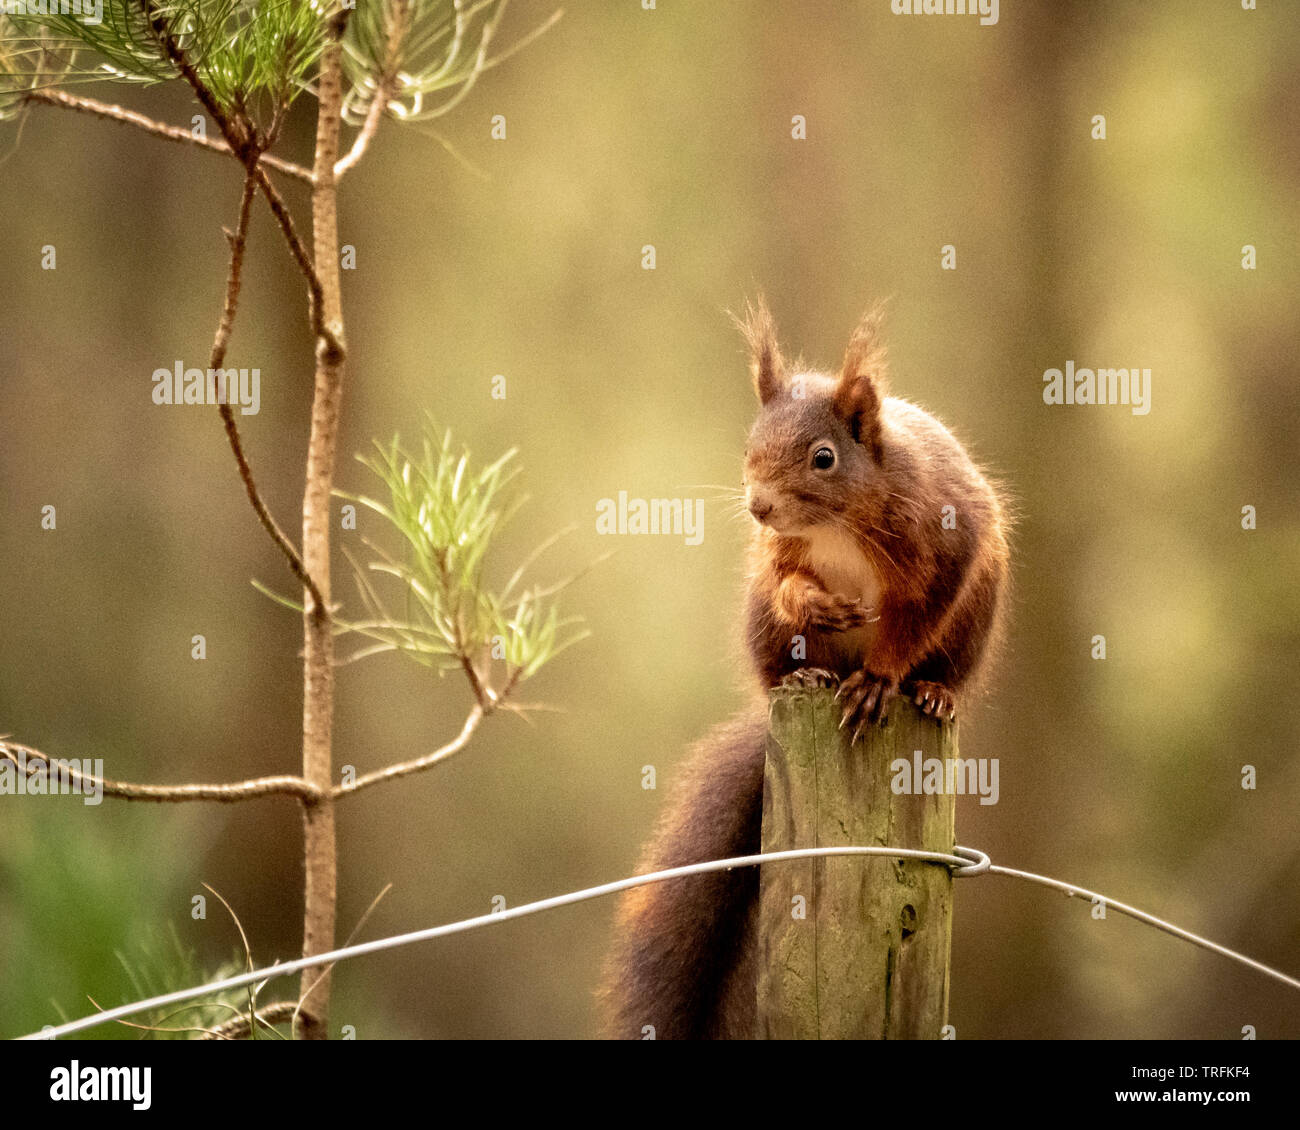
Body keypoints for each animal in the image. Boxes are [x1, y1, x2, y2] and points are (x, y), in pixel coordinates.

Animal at [597, 299, 1010, 1039]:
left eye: (824, 457)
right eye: (748, 446)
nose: (758, 504)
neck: (838, 522)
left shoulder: (945, 542)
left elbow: (913, 618)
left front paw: (879, 679)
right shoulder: (778, 555)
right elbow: (788, 581)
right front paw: (820, 603)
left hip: (977, 618)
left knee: (943, 665)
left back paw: (929, 692)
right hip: (760, 621)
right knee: (778, 651)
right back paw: (802, 678)